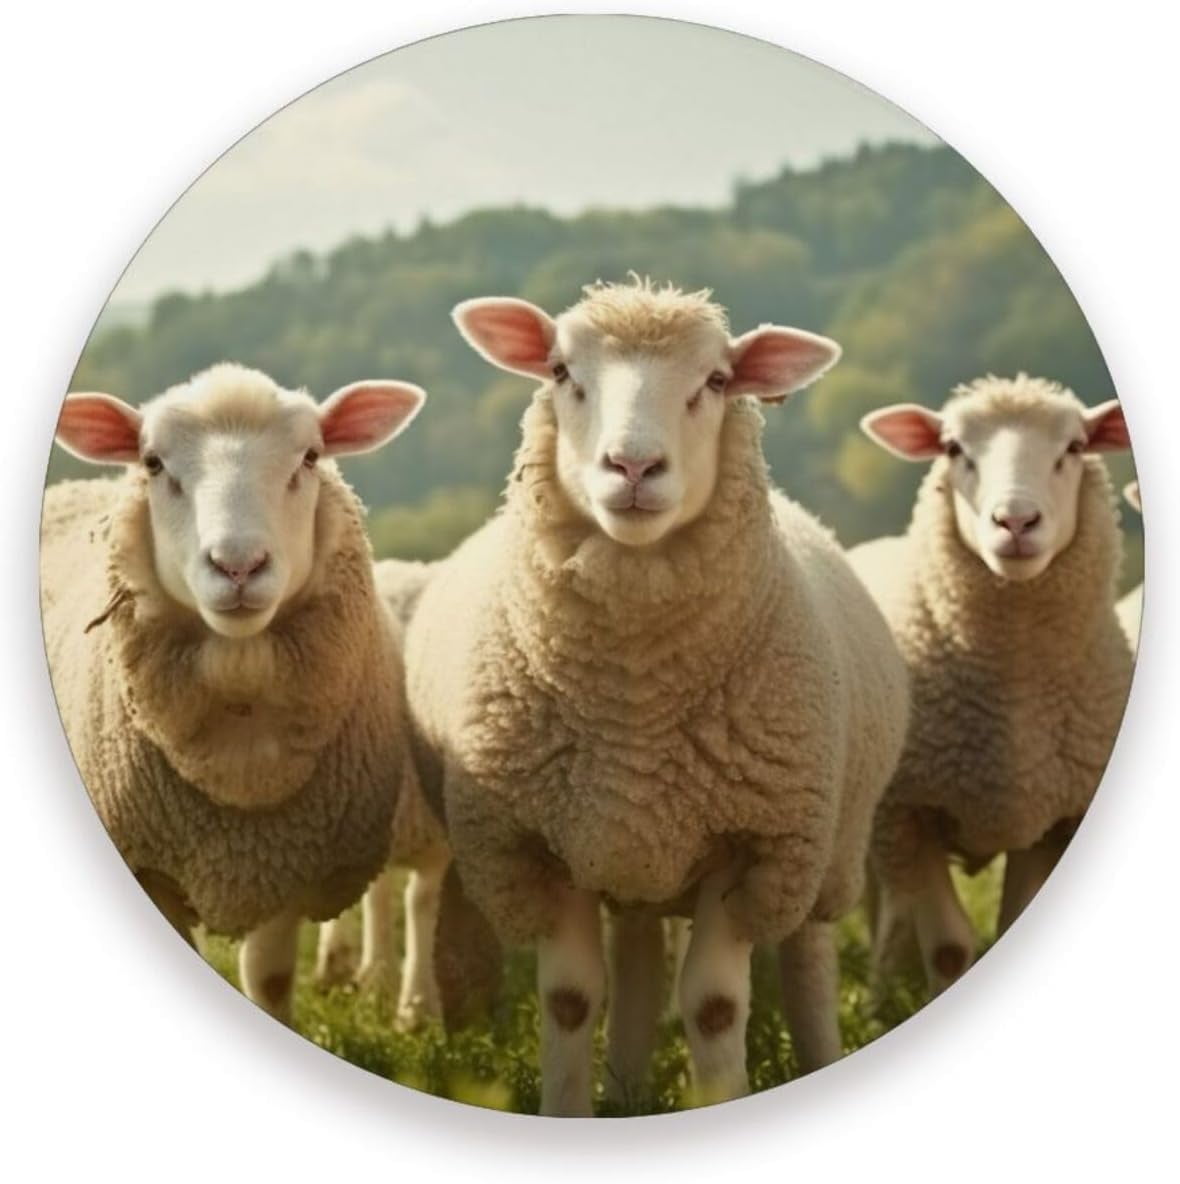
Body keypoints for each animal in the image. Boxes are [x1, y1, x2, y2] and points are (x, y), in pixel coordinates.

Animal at [42, 363, 425, 1024]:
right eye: (152, 463)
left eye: (310, 456)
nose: (238, 566)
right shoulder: (150, 868)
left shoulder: (286, 865)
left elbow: (268, 978)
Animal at [402, 277, 910, 1115]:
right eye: (561, 371)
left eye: (716, 381)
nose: (633, 466)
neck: (634, 707)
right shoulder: (537, 843)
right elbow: (571, 1000)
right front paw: (569, 1107)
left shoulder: (755, 844)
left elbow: (714, 1007)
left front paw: (719, 1094)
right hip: (633, 850)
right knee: (637, 954)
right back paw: (629, 1086)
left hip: (819, 848)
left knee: (806, 955)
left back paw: (817, 1053)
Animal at [852, 374, 1134, 996]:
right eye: (954, 448)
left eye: (1075, 446)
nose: (1016, 522)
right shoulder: (909, 811)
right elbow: (950, 948)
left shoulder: (1049, 821)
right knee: (884, 902)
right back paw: (882, 985)